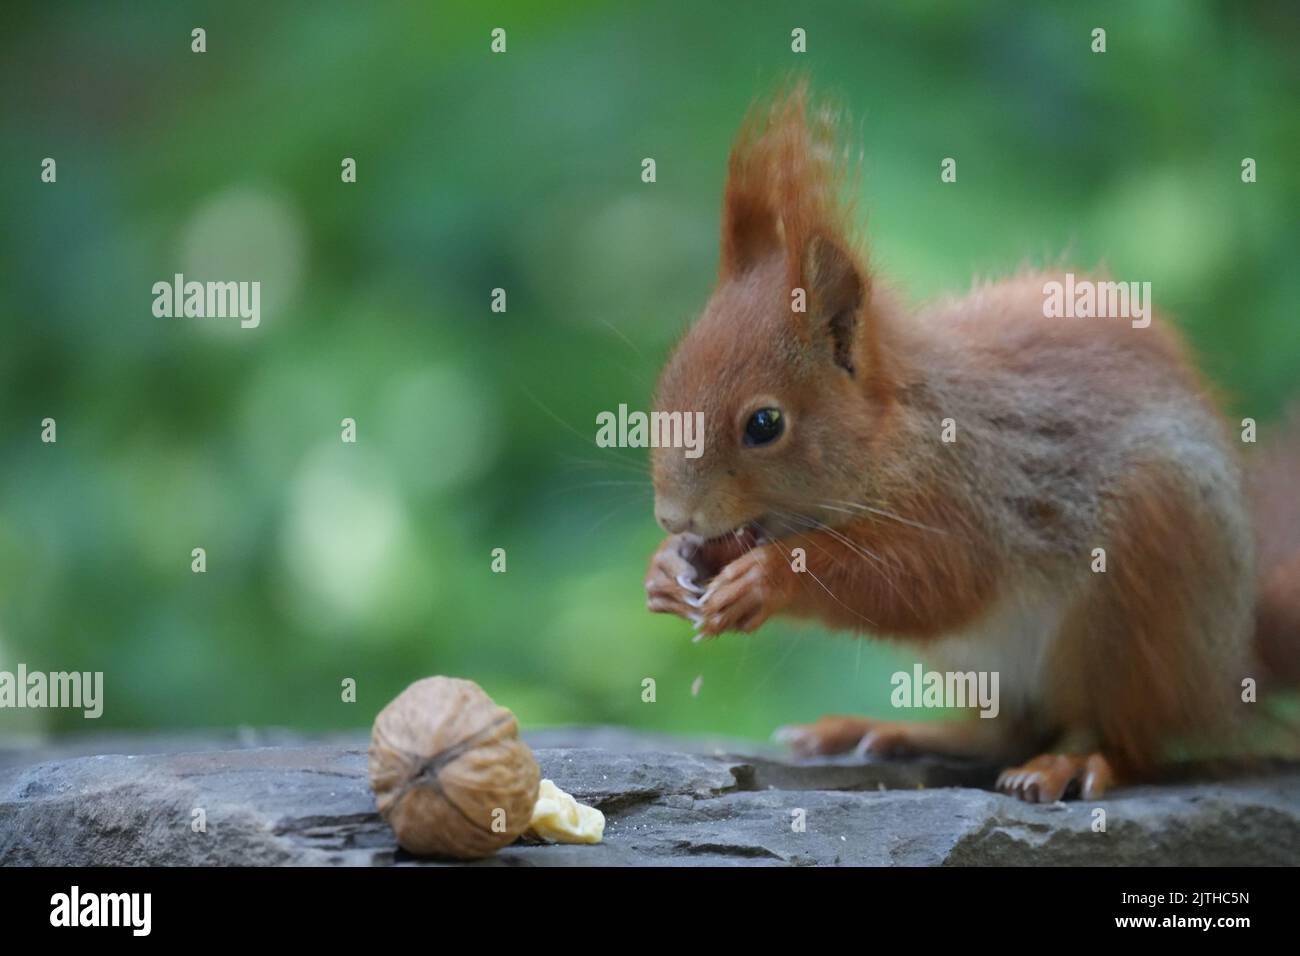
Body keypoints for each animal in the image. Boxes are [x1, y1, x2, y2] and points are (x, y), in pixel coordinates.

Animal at [643, 81, 1300, 802]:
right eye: (665, 386)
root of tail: (1229, 660)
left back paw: (1078, 761)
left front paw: (767, 577)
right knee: (1008, 730)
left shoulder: (974, 487)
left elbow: (936, 577)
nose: (674, 517)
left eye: (765, 425)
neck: (893, 429)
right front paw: (667, 570)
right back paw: (895, 731)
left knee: (1132, 739)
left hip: (1148, 576)